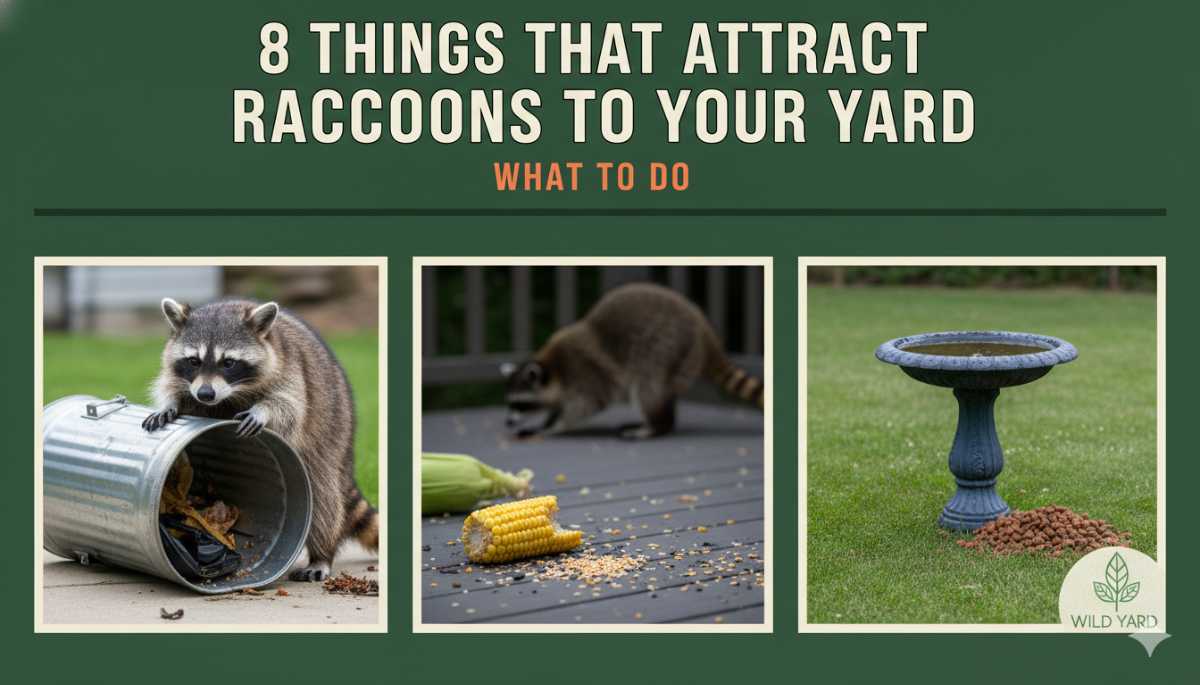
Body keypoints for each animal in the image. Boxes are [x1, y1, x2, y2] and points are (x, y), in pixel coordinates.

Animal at [142, 298, 378, 581]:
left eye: (229, 363)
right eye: (193, 361)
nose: (206, 394)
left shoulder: (289, 369)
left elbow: (289, 406)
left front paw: (262, 411)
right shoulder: (182, 377)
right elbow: (171, 387)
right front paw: (170, 404)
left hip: (331, 430)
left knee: (323, 496)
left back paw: (322, 554)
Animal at [503, 282, 763, 440]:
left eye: (520, 404)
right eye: (511, 403)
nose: (508, 422)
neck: (554, 369)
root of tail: (703, 328)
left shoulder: (584, 373)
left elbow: (586, 405)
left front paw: (554, 427)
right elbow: (561, 406)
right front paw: (546, 422)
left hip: (669, 347)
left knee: (647, 386)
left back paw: (656, 426)